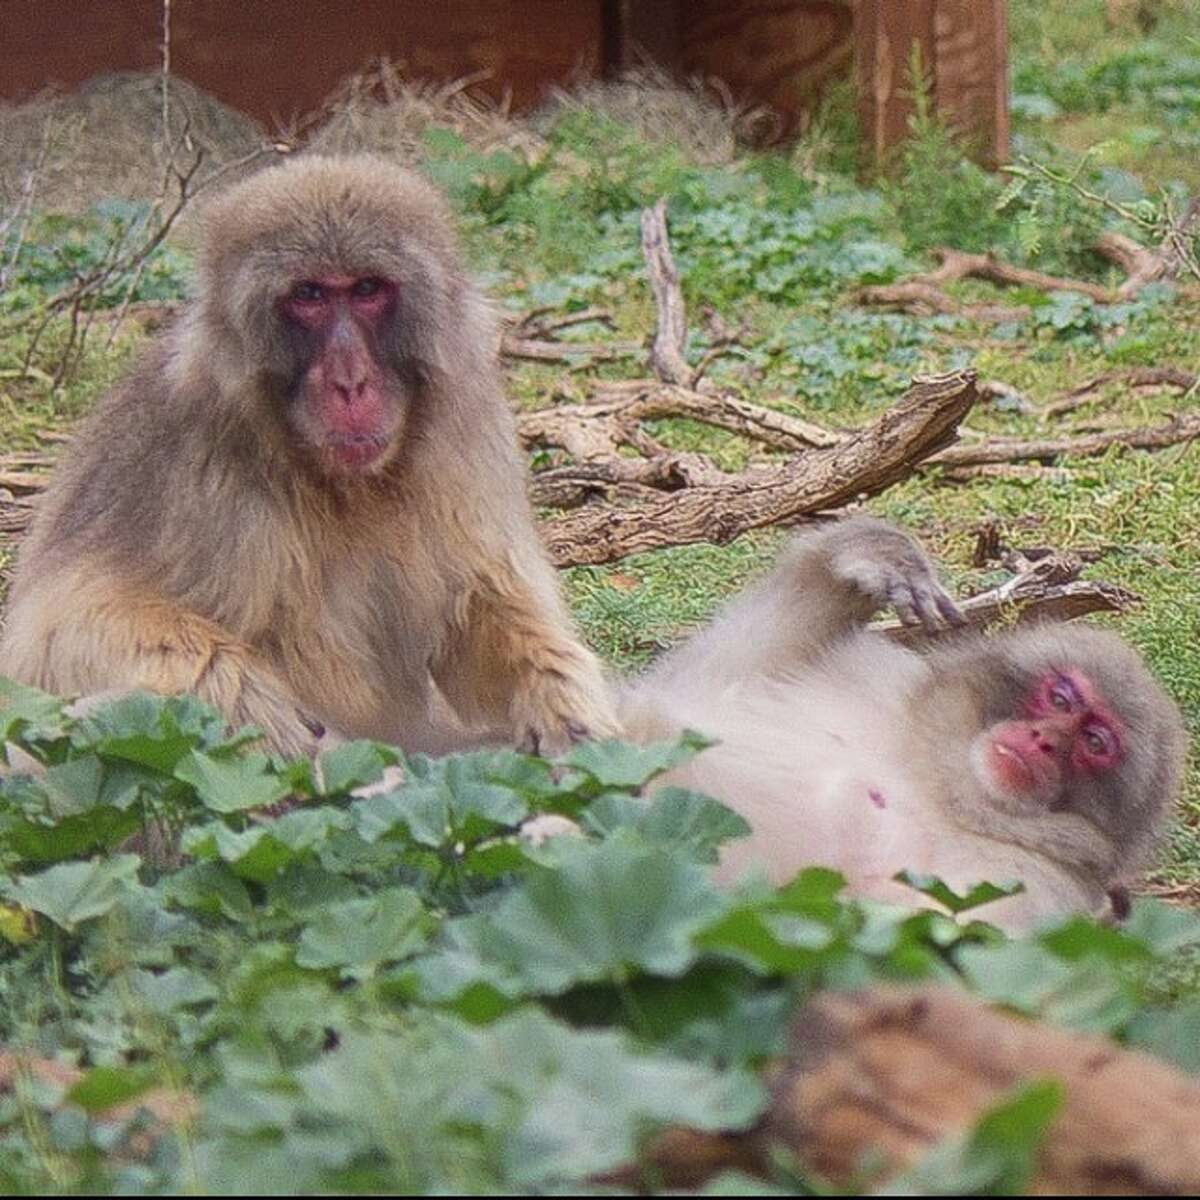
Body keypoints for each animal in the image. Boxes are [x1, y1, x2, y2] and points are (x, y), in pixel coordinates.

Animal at [0, 154, 617, 759]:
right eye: (310, 296)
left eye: (366, 289)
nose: (351, 382)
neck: (343, 484)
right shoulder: (170, 450)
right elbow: (50, 641)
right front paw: (252, 699)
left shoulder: (466, 428)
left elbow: (477, 602)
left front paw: (559, 696)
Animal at [618, 518, 1185, 932]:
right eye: (1060, 697)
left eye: (1094, 741)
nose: (1043, 740)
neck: (941, 783)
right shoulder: (880, 677)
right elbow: (692, 689)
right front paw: (874, 554)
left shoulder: (1038, 894)